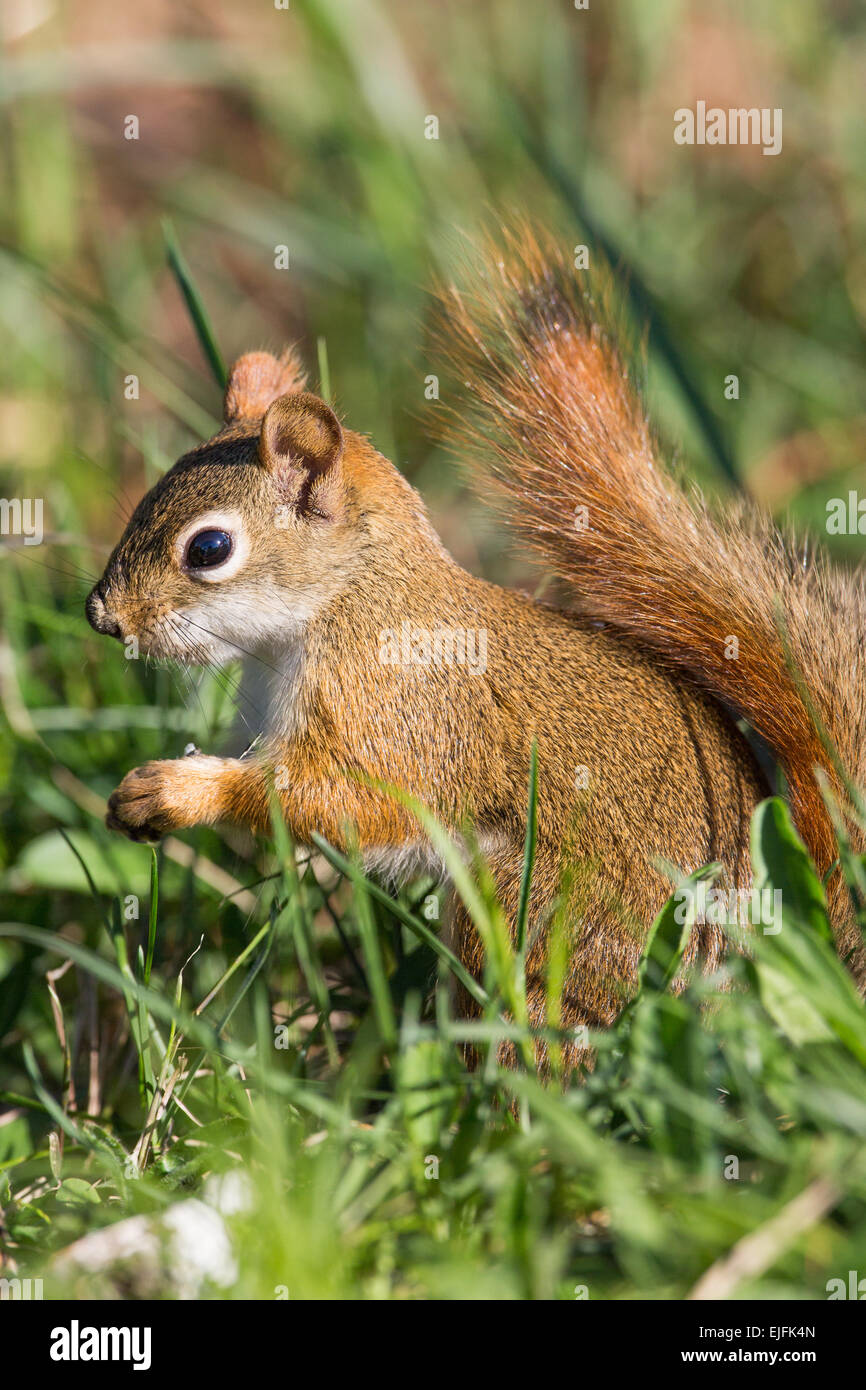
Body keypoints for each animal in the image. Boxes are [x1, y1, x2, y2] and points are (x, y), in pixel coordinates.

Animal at [86, 225, 866, 1061]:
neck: (342, 600)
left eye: (208, 550)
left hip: (550, 915)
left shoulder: (394, 707)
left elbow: (346, 797)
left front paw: (176, 791)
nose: (103, 617)